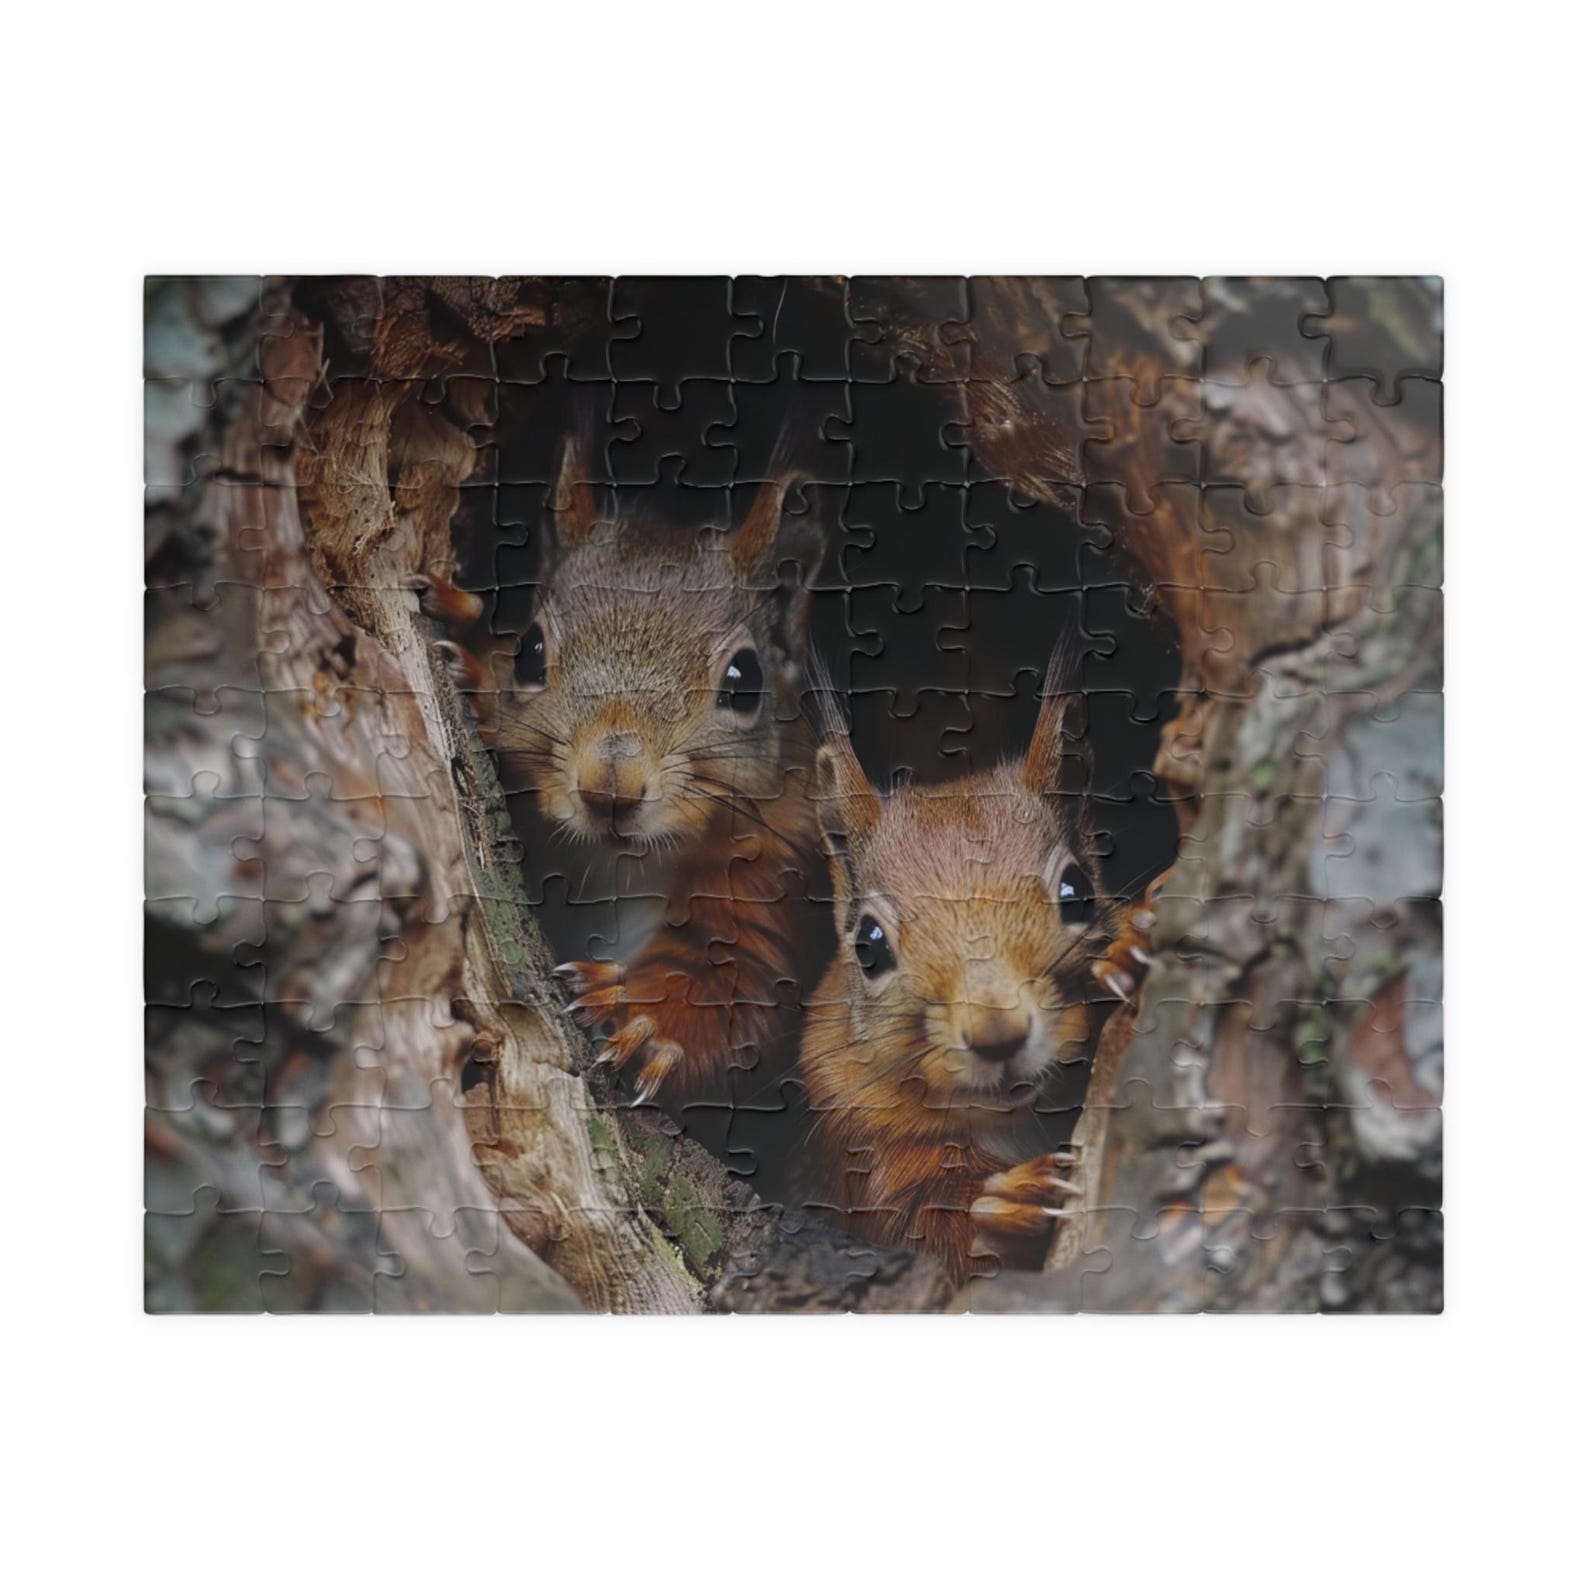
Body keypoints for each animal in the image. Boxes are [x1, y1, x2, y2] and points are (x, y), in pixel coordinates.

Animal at [491, 436, 832, 1115]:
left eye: (745, 680)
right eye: (527, 651)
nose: (609, 788)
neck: (619, 866)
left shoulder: (769, 879)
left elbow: (734, 995)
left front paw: (639, 1021)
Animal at [798, 637, 1161, 1285]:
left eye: (1077, 891)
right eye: (867, 945)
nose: (998, 1034)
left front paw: (1127, 947)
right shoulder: (864, 1151)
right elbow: (918, 1223)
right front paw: (1006, 1202)